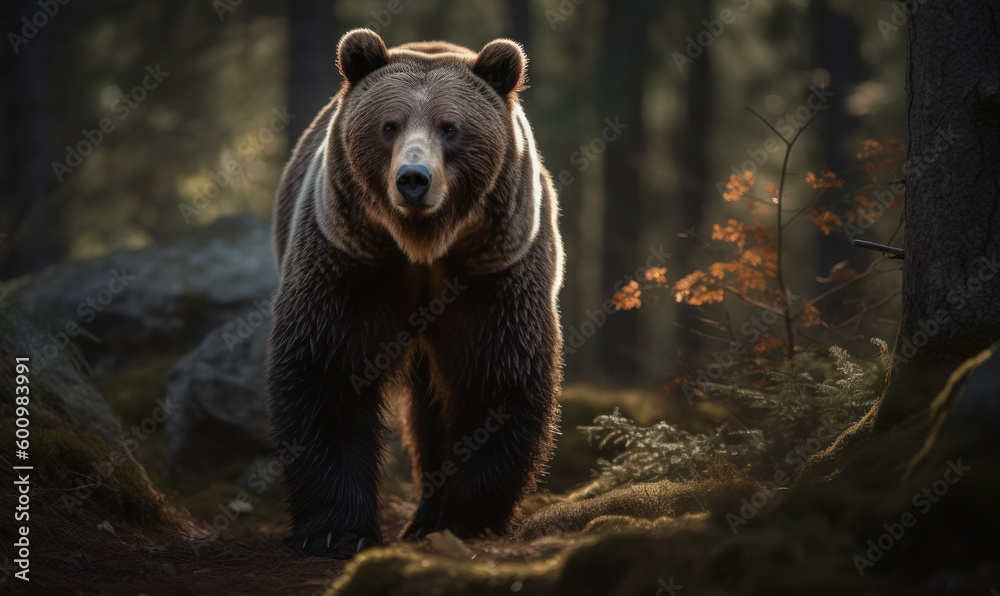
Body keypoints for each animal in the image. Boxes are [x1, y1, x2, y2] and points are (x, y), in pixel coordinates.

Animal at [265, 28, 564, 557]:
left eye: (450, 127)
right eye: (389, 125)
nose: (413, 179)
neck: (423, 246)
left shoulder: (494, 270)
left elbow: (496, 378)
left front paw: (466, 518)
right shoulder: (351, 260)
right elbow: (326, 370)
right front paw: (336, 529)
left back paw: (426, 520)